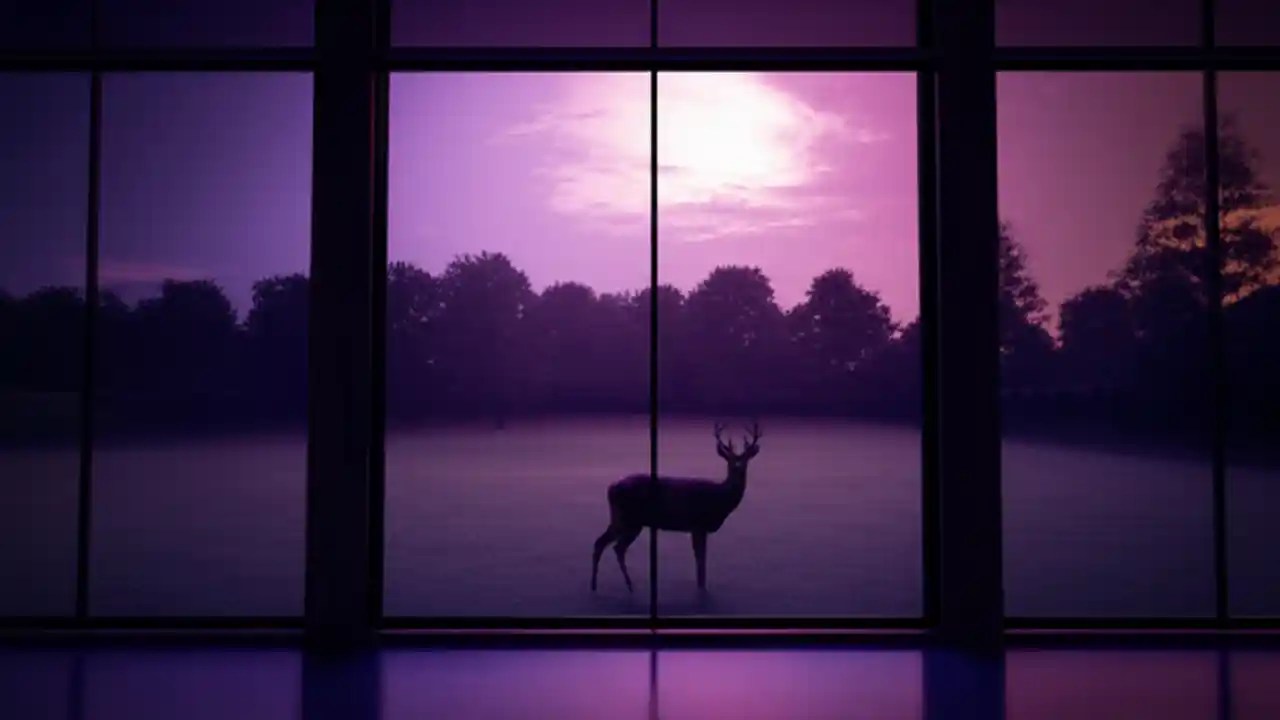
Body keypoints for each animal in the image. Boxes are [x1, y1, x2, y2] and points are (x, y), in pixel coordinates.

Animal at [591, 421, 762, 593]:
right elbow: (701, 559)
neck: (719, 498)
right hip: (628, 520)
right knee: (612, 546)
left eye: (746, 460)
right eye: (729, 461)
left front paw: (701, 586)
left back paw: (603, 585)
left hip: (623, 520)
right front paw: (702, 588)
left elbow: (701, 558)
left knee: (607, 544)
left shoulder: (699, 529)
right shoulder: (698, 525)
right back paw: (620, 585)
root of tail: (611, 488)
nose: (738, 467)